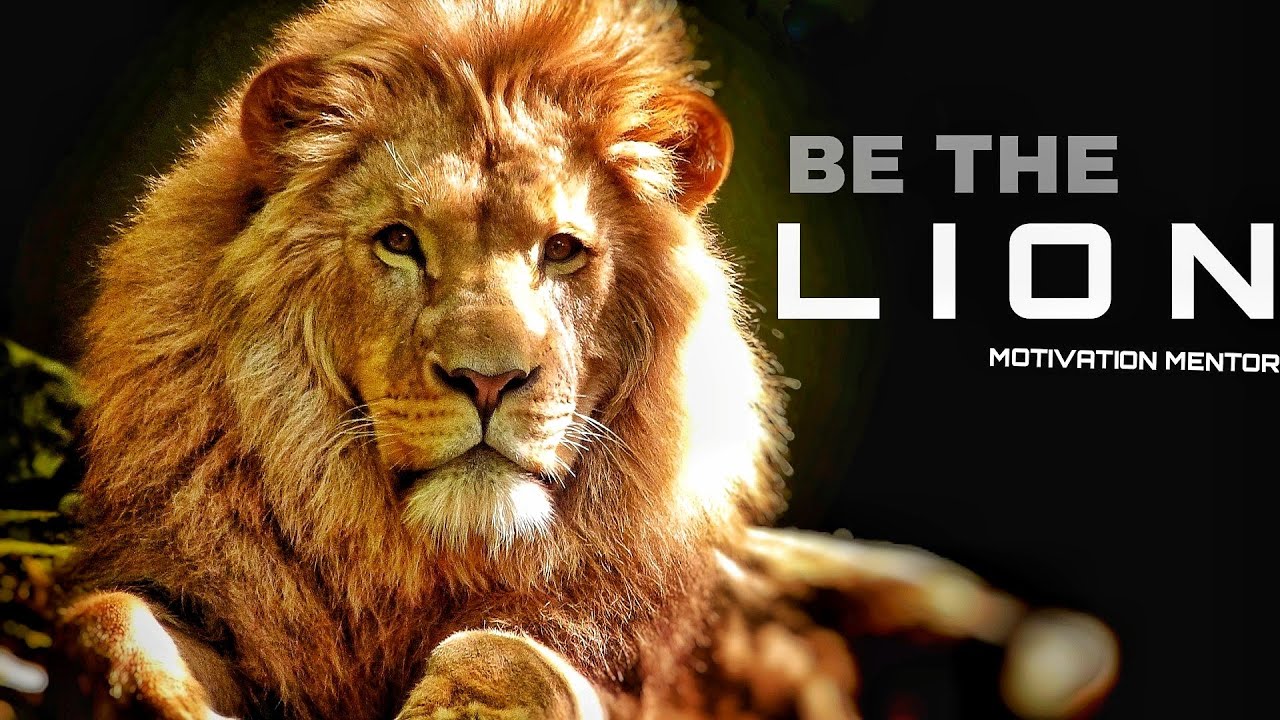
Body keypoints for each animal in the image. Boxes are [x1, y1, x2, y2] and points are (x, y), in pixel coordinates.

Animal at [56, 1, 1117, 719]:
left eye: (562, 250)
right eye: (399, 242)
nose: (488, 380)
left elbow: (510, 651)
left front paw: (462, 695)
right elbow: (107, 611)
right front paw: (149, 693)